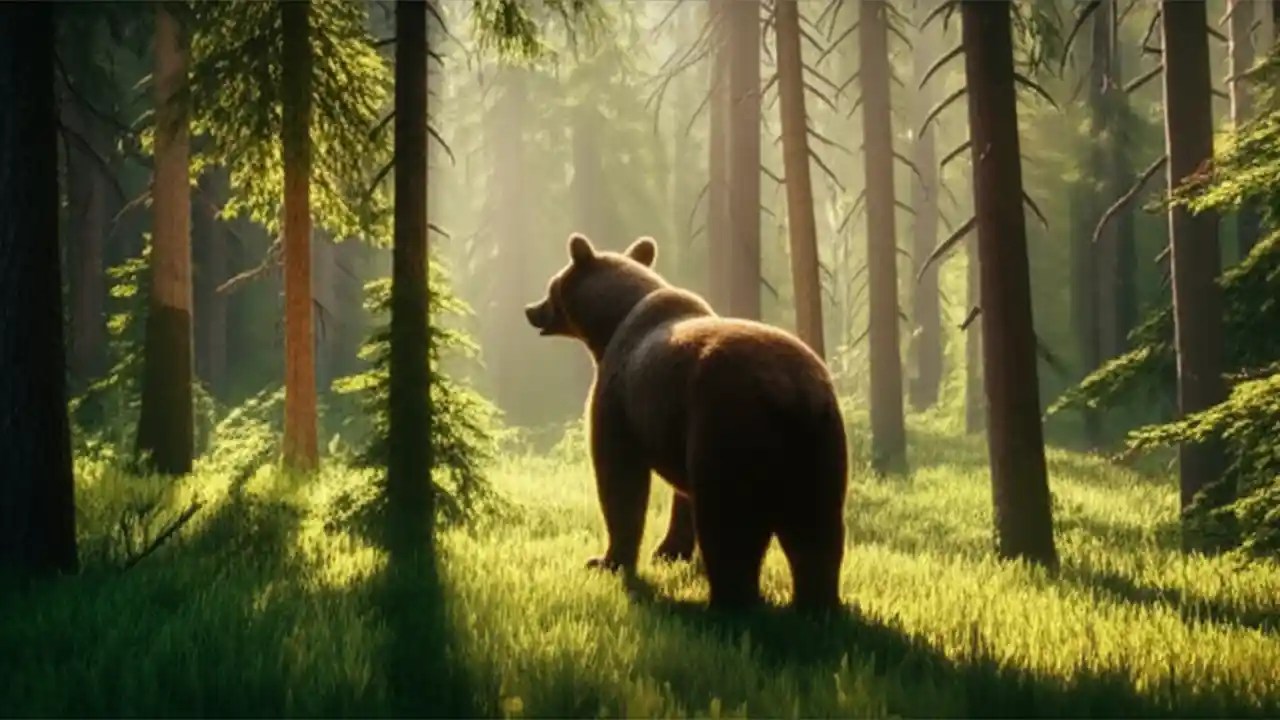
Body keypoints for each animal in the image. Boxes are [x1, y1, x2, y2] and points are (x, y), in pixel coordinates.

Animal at [524, 233, 848, 611]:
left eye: (552, 286)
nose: (531, 309)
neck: (612, 324)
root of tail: (787, 393)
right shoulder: (676, 425)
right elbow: (682, 493)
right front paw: (668, 551)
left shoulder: (621, 397)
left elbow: (619, 476)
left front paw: (606, 560)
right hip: (819, 444)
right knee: (817, 530)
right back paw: (817, 604)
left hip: (729, 426)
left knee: (730, 525)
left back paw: (726, 603)